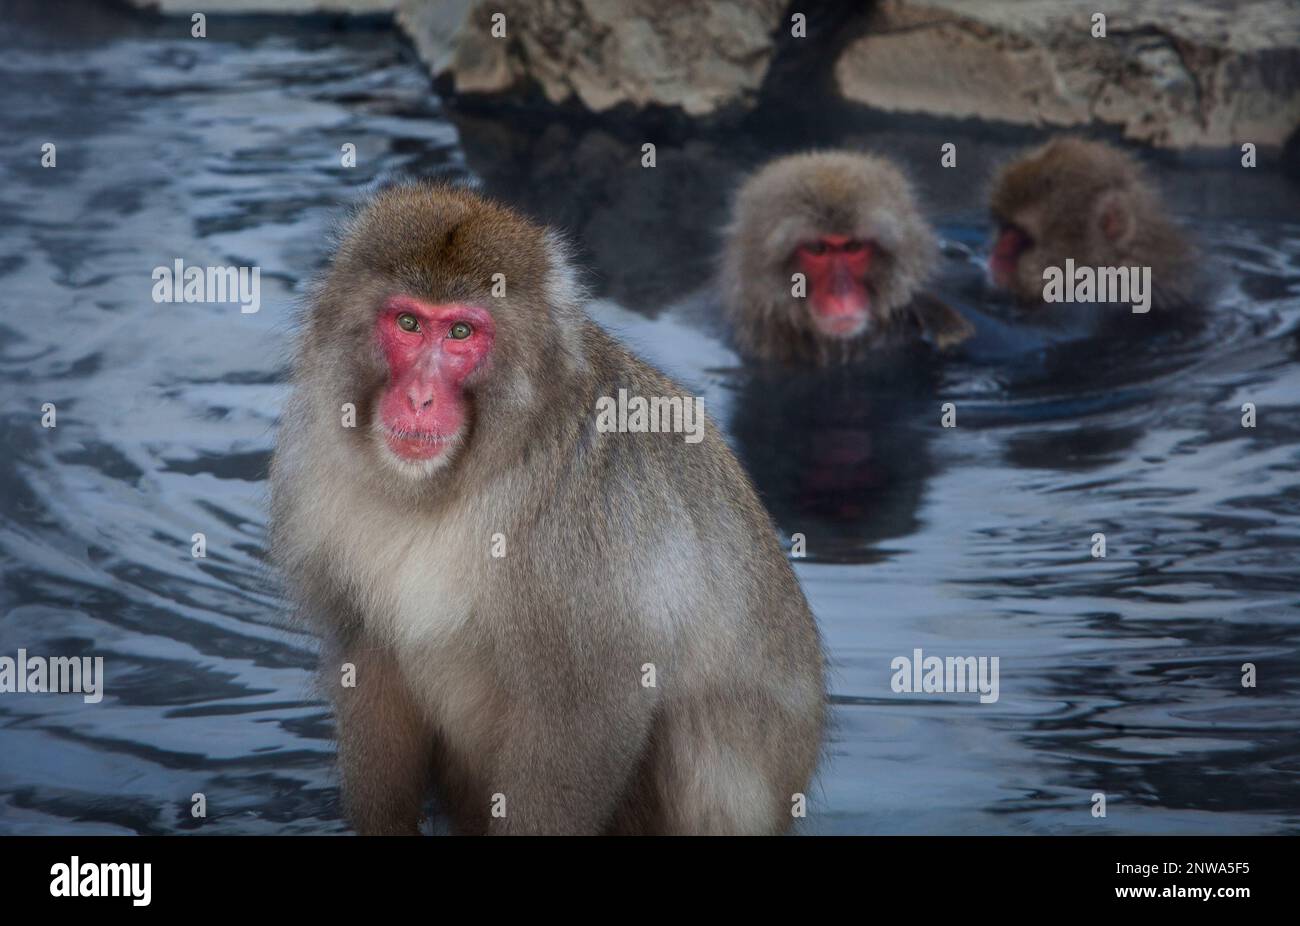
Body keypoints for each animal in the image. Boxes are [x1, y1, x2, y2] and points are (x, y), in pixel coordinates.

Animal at [269, 182, 825, 836]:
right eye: (408, 322)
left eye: (461, 333)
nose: (419, 397)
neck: (459, 480)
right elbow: (369, 664)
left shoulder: (588, 531)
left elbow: (586, 717)